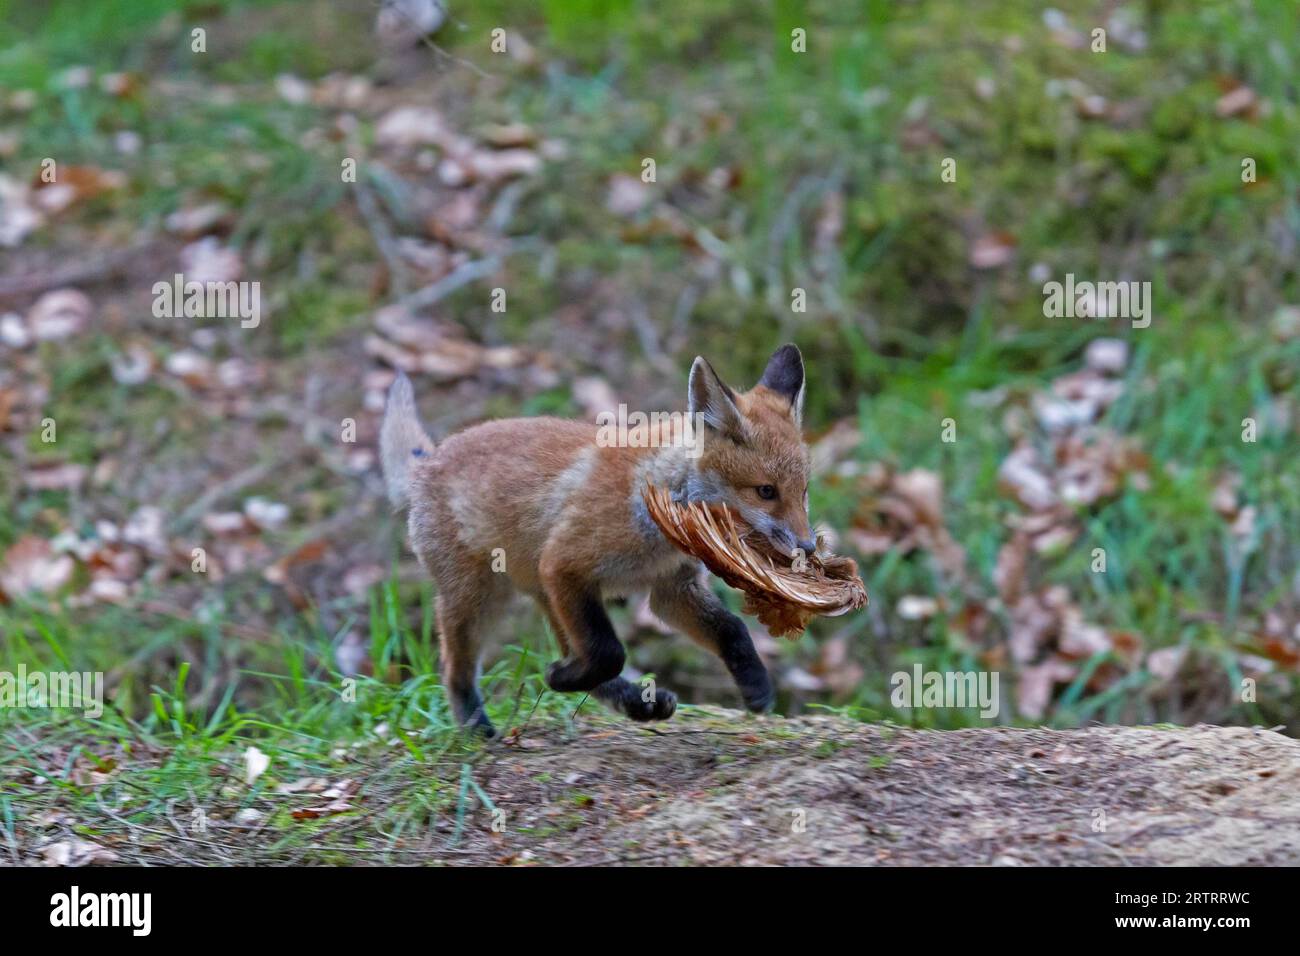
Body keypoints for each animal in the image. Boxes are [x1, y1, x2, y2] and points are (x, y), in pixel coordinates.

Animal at [379, 343, 816, 736]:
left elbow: (733, 630)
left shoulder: (672, 589)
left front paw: (756, 685)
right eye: (766, 491)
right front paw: (558, 679)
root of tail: (428, 462)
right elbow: (610, 652)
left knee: (573, 654)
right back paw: (476, 728)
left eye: (804, 491)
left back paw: (635, 702)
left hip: (543, 595)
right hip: (479, 599)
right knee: (454, 669)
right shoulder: (565, 564)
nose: (808, 548)